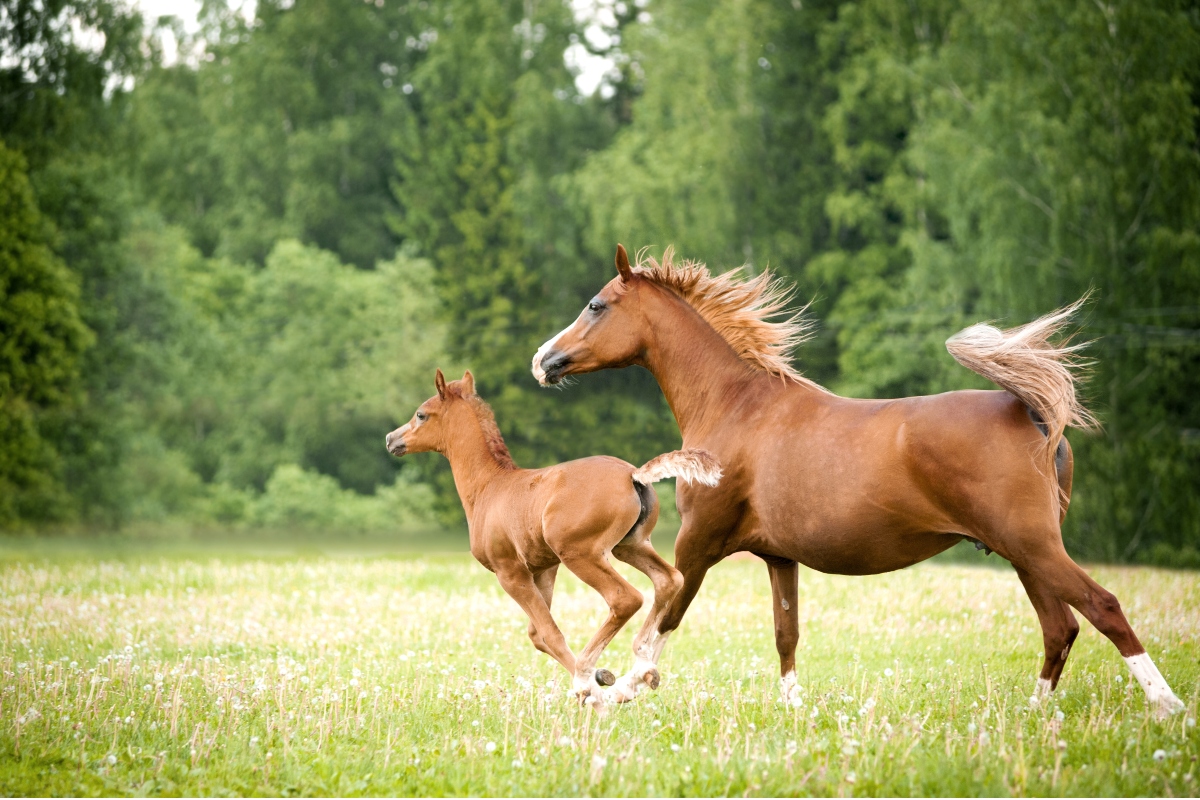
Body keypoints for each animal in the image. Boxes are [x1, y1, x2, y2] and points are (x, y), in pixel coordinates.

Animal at [385, 368, 722, 706]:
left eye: (421, 414)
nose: (391, 439)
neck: (488, 487)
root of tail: (633, 475)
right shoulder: (544, 568)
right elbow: (538, 635)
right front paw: (602, 677)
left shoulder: (511, 572)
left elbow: (548, 632)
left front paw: (591, 688)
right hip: (631, 546)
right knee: (669, 580)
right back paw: (644, 668)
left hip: (581, 554)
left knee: (625, 598)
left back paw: (595, 672)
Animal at [530, 244, 1185, 717]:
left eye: (596, 305)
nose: (543, 360)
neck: (738, 407)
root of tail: (1032, 412)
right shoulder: (777, 557)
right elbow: (786, 633)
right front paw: (793, 708)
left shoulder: (700, 543)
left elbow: (661, 621)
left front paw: (613, 687)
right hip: (1025, 553)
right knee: (1061, 627)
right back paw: (1034, 713)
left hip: (1034, 546)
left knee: (1101, 608)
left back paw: (1167, 706)